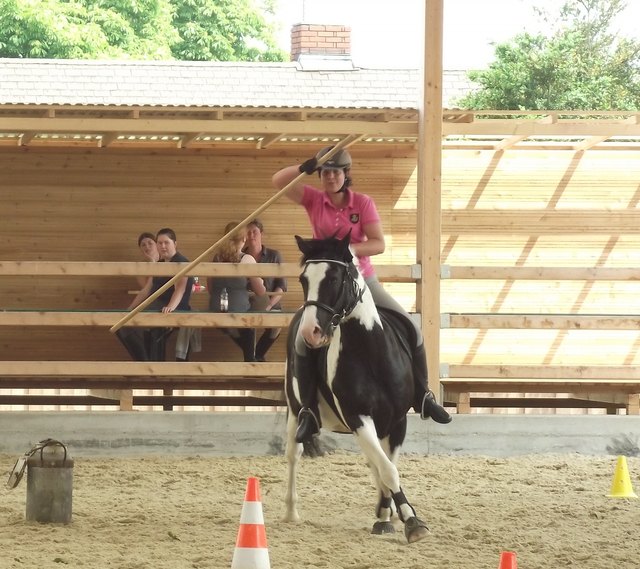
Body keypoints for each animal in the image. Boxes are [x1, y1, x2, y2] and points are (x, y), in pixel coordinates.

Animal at [283, 233, 429, 543]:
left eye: (335, 278)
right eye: (303, 279)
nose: (311, 332)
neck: (371, 354)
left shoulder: (396, 422)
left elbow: (388, 466)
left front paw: (388, 514)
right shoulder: (358, 417)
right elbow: (388, 469)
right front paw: (411, 521)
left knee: (374, 461)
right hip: (293, 409)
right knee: (293, 454)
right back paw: (291, 511)